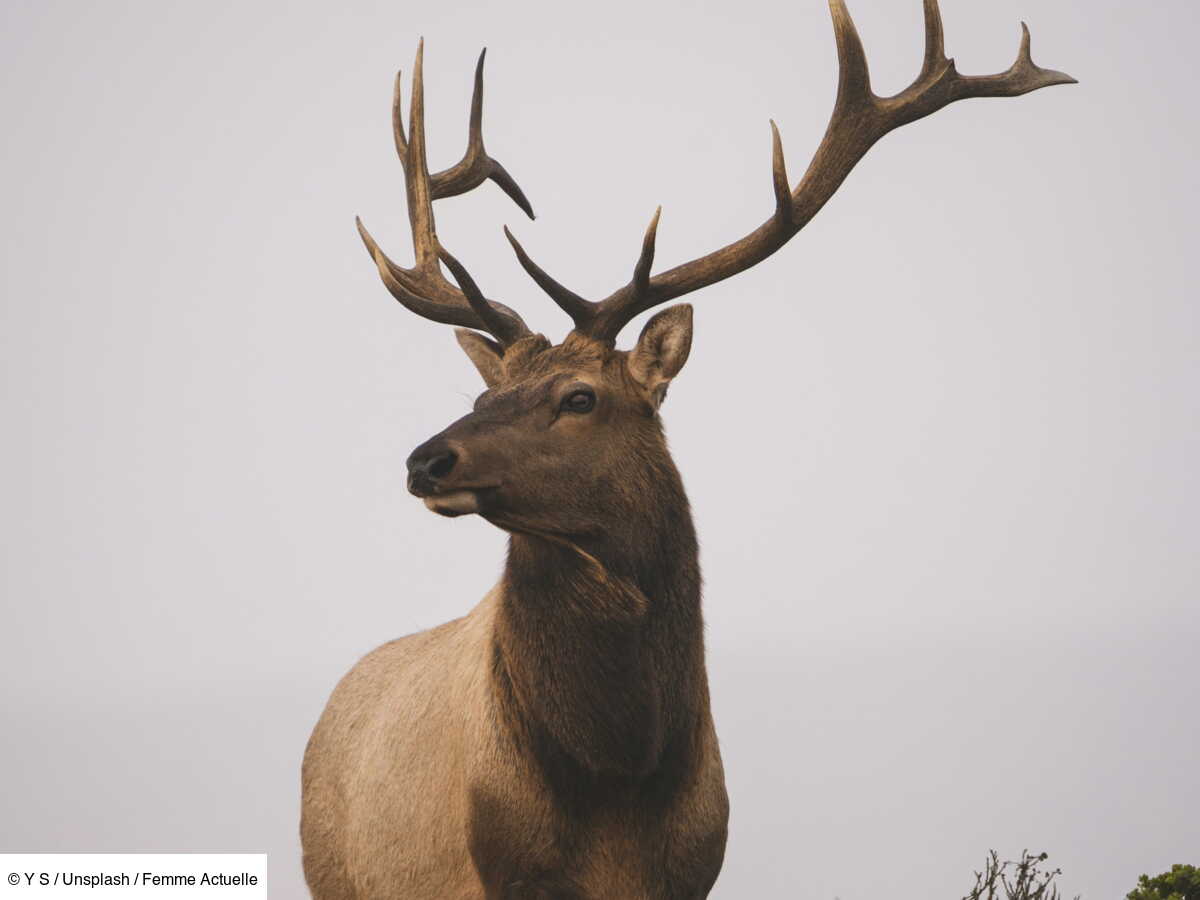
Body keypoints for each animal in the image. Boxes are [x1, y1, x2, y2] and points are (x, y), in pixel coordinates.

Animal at [300, 2, 1074, 896]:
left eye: (580, 397)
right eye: (482, 399)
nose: (425, 461)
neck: (620, 782)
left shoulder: (697, 869)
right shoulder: (495, 875)